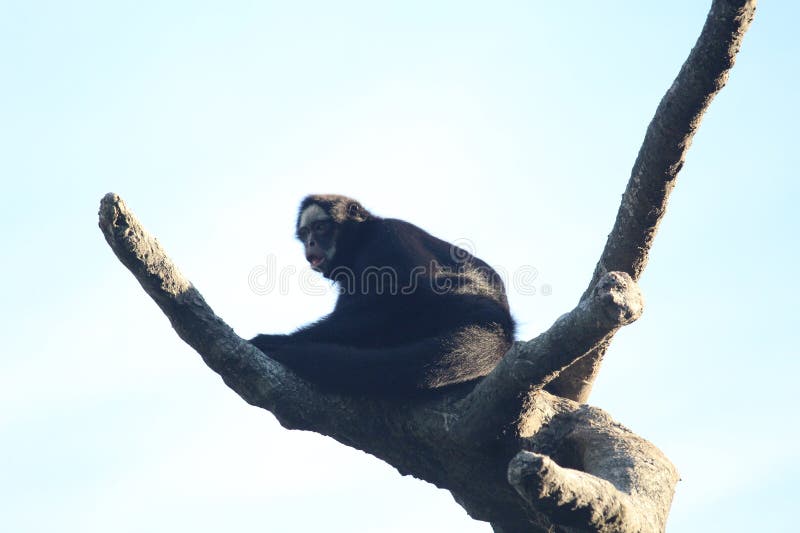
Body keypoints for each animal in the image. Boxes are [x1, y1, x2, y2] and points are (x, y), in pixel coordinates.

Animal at [250, 194, 515, 394]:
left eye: (320, 228)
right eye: (305, 233)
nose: (310, 243)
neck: (364, 238)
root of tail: (504, 328)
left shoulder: (390, 236)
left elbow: (401, 298)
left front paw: (280, 340)